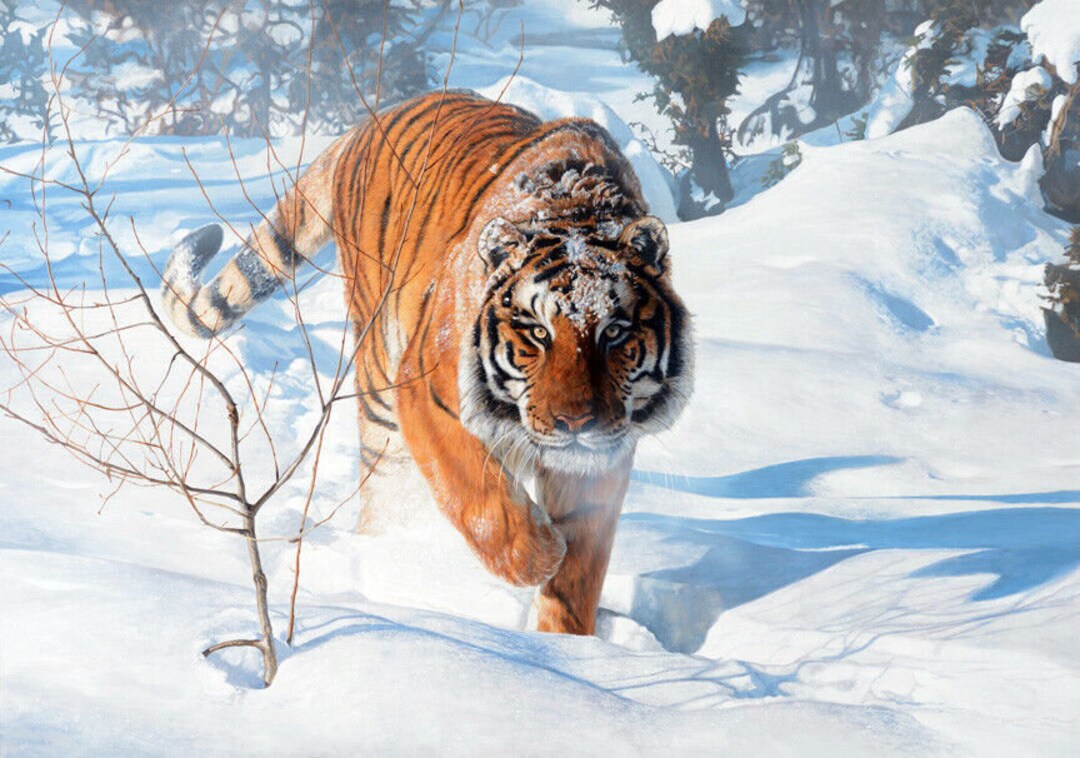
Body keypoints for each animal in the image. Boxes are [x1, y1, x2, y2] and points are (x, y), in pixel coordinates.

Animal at [162, 90, 693, 636]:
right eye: (538, 332)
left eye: (615, 332)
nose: (576, 424)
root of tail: (367, 123)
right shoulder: (425, 391)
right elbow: (480, 498)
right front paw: (541, 555)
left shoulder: (603, 455)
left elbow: (582, 569)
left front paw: (568, 645)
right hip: (380, 383)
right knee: (382, 493)